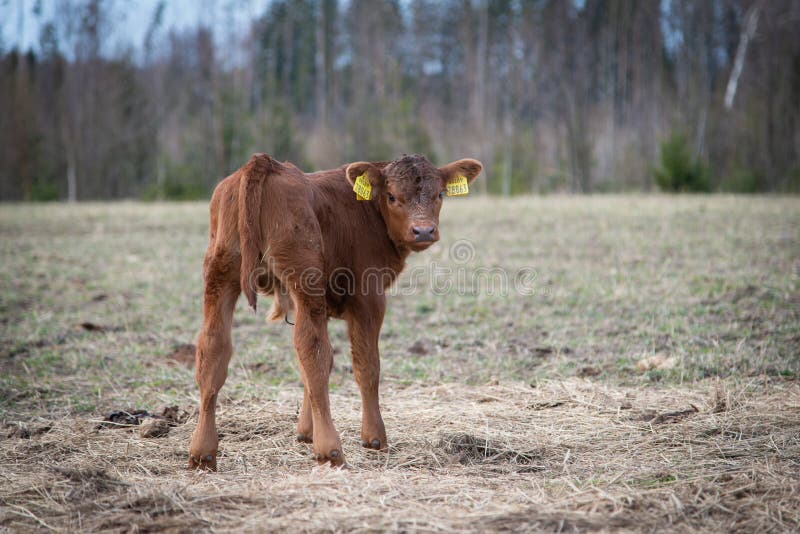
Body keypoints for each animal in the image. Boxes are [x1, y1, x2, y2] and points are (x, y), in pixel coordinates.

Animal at [188, 153, 482, 470]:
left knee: (213, 349)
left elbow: (310, 370)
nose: (424, 230)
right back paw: (330, 449)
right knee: (313, 350)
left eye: (439, 194)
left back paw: (202, 452)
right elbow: (366, 365)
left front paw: (306, 432)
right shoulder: (368, 295)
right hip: (304, 278)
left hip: (221, 274)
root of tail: (264, 163)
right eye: (392, 196)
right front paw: (374, 437)